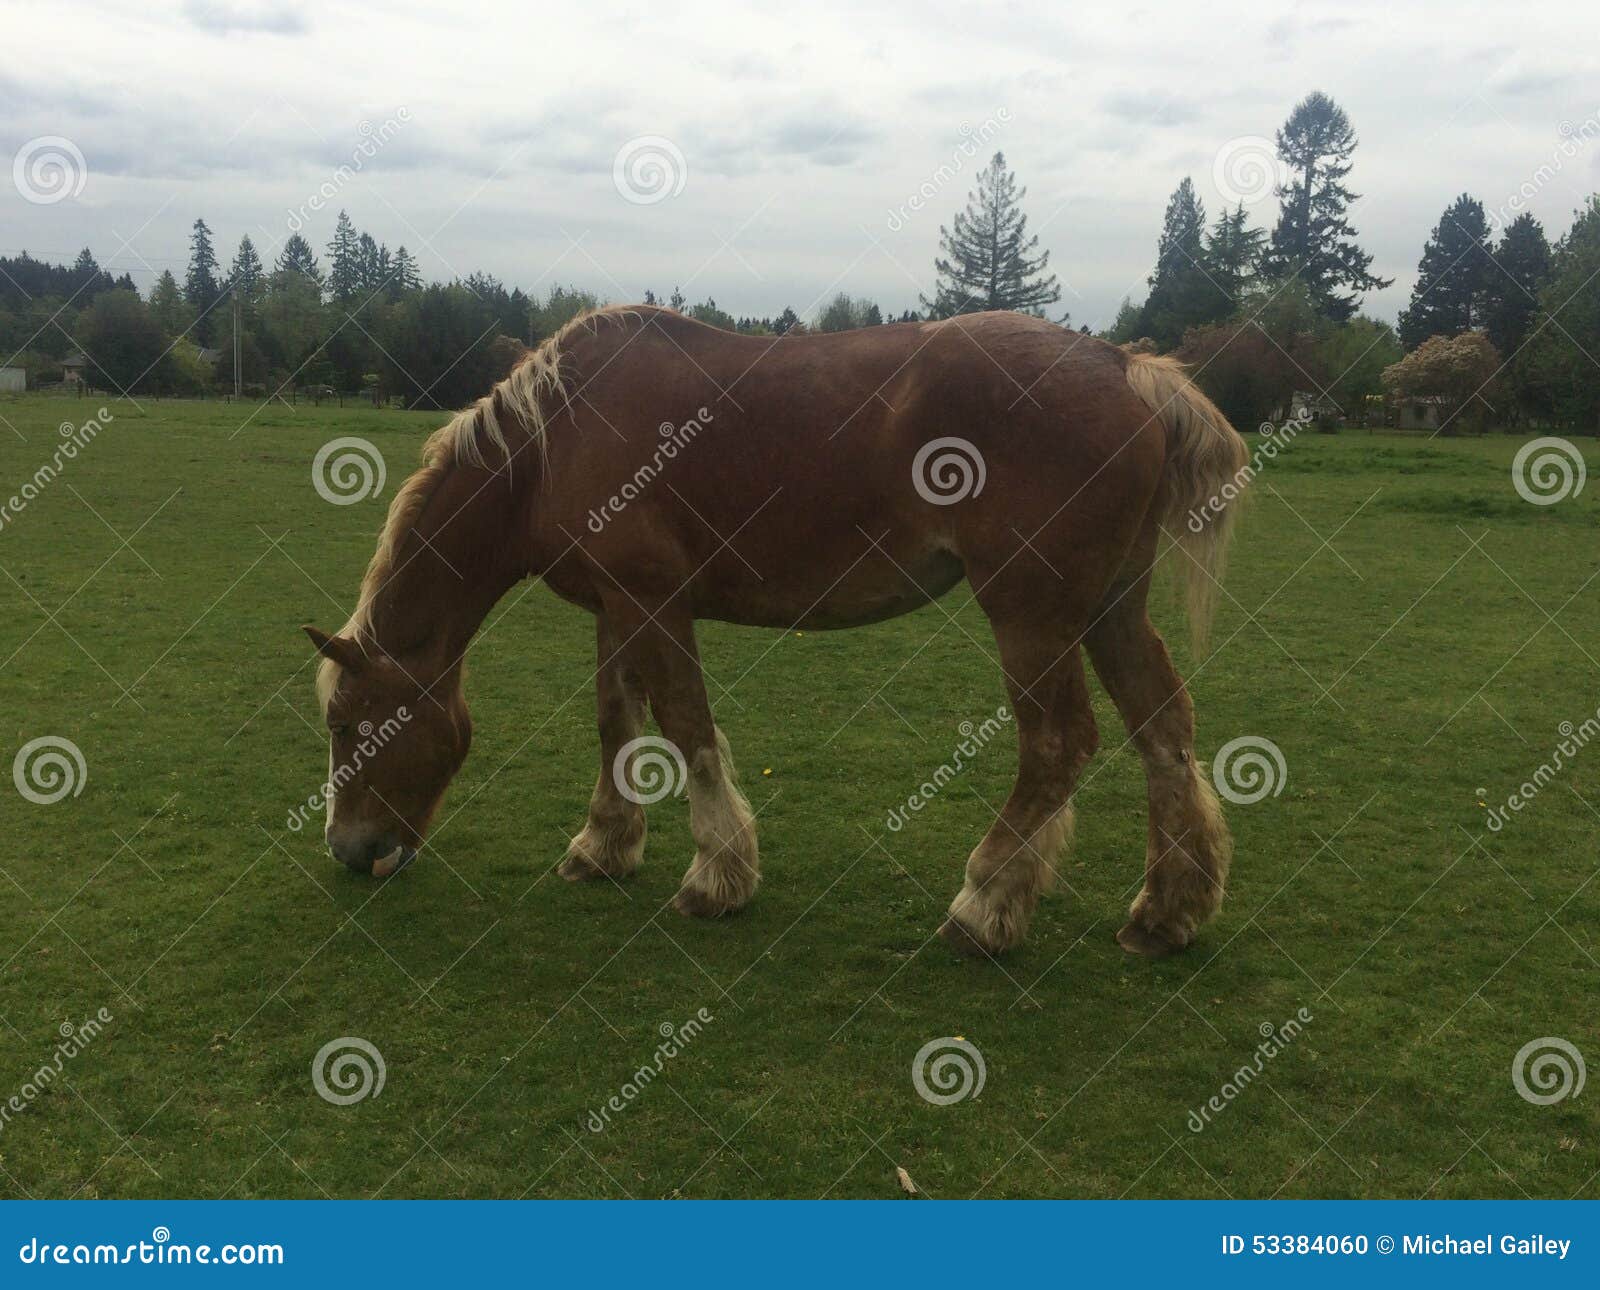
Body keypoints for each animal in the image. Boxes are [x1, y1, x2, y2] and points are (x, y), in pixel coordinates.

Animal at [303, 305, 1249, 959]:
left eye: (347, 726)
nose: (349, 851)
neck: (552, 440)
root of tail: (1129, 370)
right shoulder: (617, 606)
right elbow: (617, 723)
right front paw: (604, 846)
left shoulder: (655, 602)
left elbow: (686, 725)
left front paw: (717, 876)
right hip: (1112, 609)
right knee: (1163, 730)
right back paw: (1167, 912)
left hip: (1032, 613)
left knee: (1058, 744)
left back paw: (984, 907)